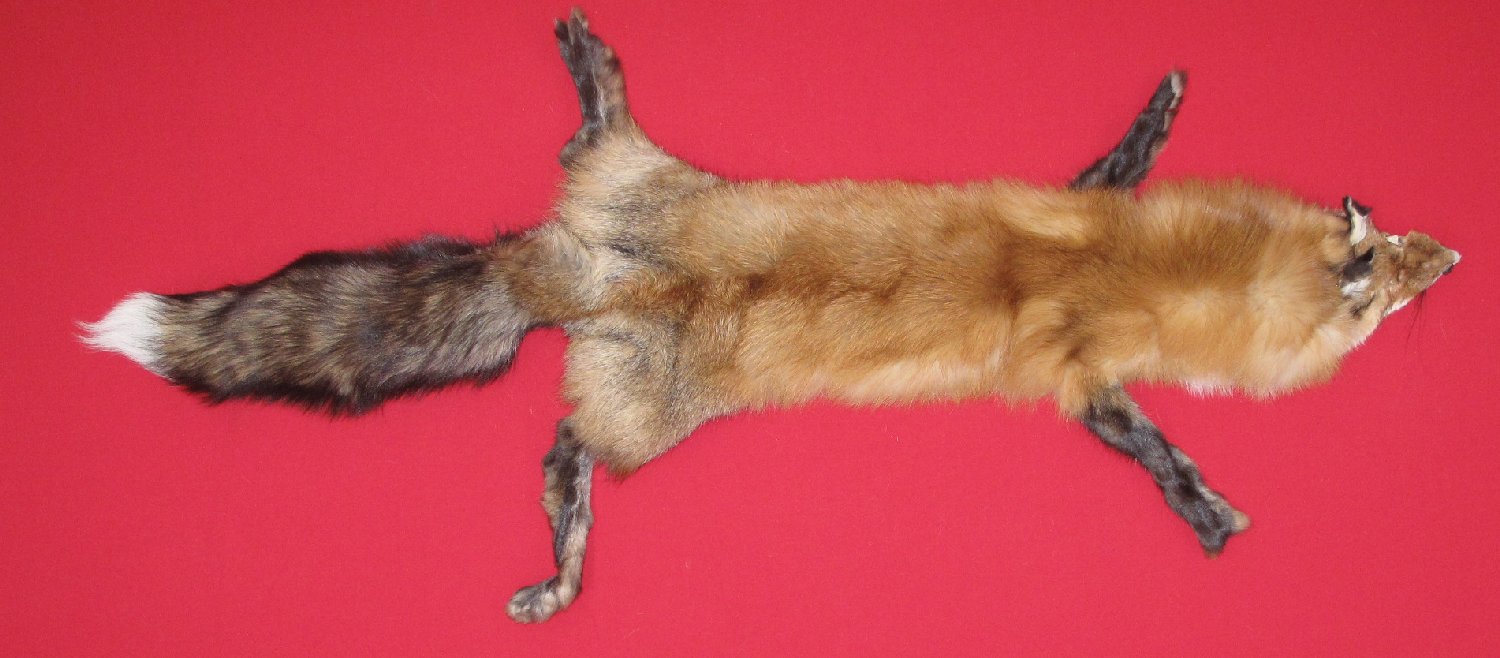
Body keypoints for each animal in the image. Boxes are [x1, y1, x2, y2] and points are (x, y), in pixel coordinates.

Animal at [81, 9, 1460, 623]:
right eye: (1393, 276)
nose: (1453, 253)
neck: (1130, 274)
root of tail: (574, 280)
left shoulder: (1085, 211)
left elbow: (1118, 155)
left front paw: (1162, 102)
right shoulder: (1087, 372)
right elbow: (1155, 448)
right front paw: (1208, 511)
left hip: (640, 188)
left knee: (591, 160)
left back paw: (591, 71)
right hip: (647, 424)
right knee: (569, 457)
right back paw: (560, 573)